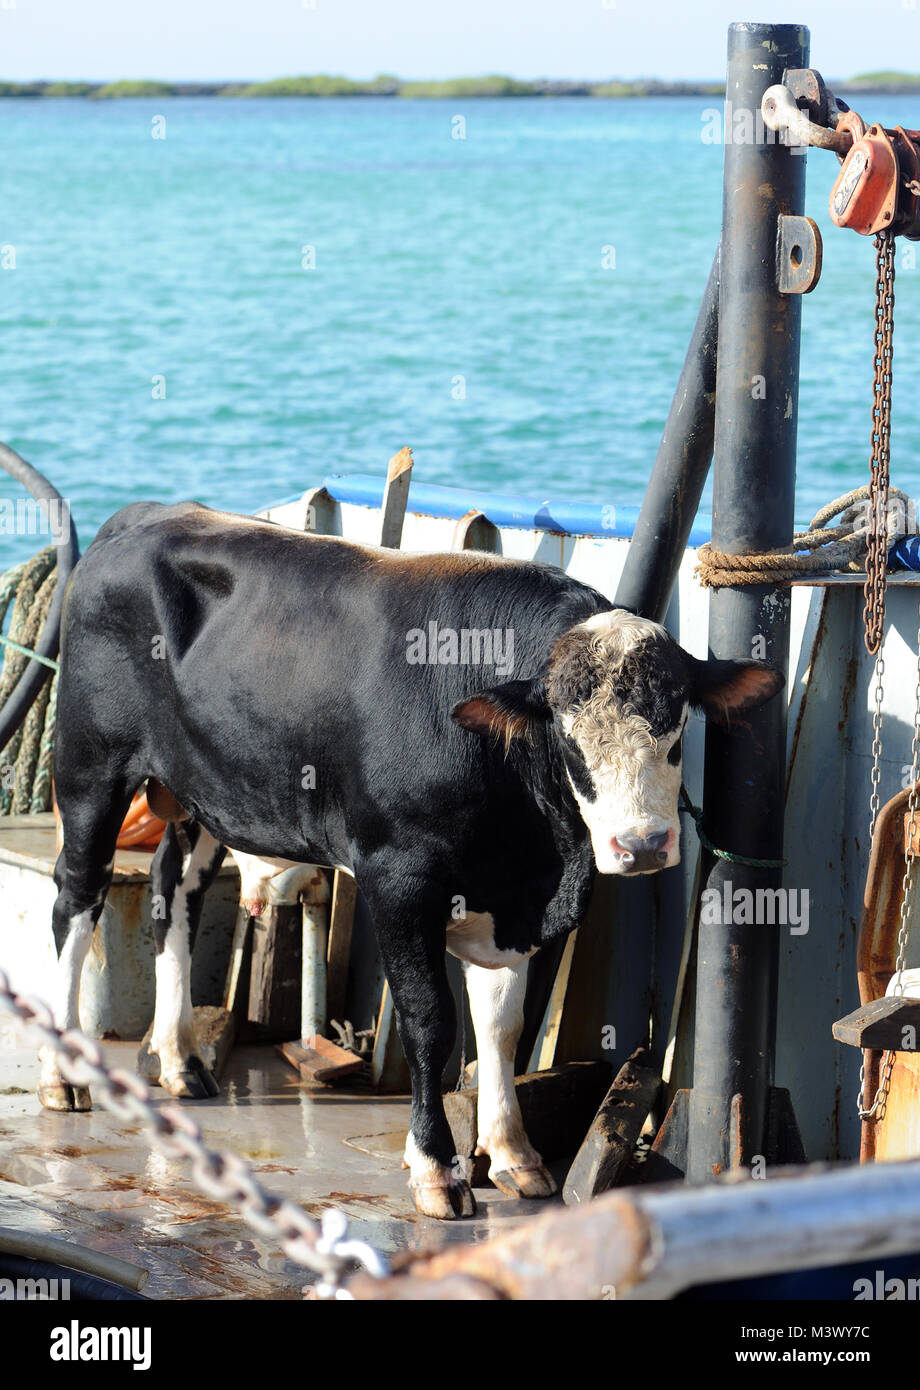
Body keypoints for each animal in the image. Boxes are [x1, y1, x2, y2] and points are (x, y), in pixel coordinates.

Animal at [39, 501, 783, 1218]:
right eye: (570, 740)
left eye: (676, 730)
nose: (644, 844)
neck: (532, 854)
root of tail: (143, 516)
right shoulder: (398, 879)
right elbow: (432, 1023)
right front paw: (436, 1168)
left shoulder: (512, 901)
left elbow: (502, 1026)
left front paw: (513, 1154)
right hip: (90, 771)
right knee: (76, 899)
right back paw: (62, 1073)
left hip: (199, 792)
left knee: (174, 894)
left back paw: (180, 1060)